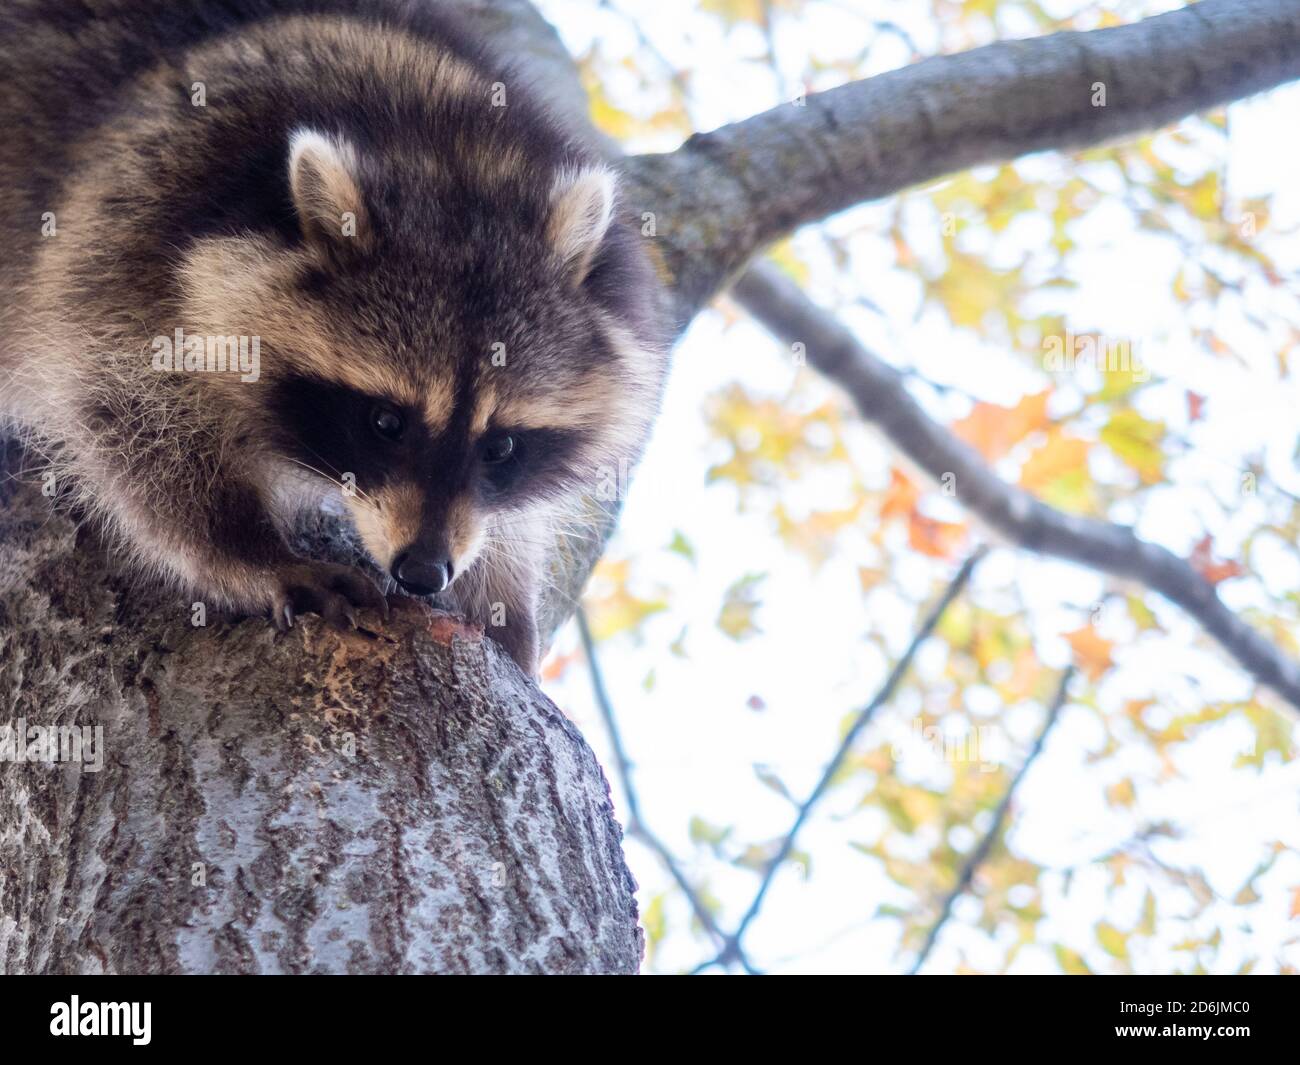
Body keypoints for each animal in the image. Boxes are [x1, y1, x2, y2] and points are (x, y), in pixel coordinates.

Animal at [0, 1, 665, 672]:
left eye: (501, 445)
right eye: (385, 421)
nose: (424, 572)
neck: (445, 151)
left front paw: (503, 590)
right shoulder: (136, 219)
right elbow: (123, 416)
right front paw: (251, 553)